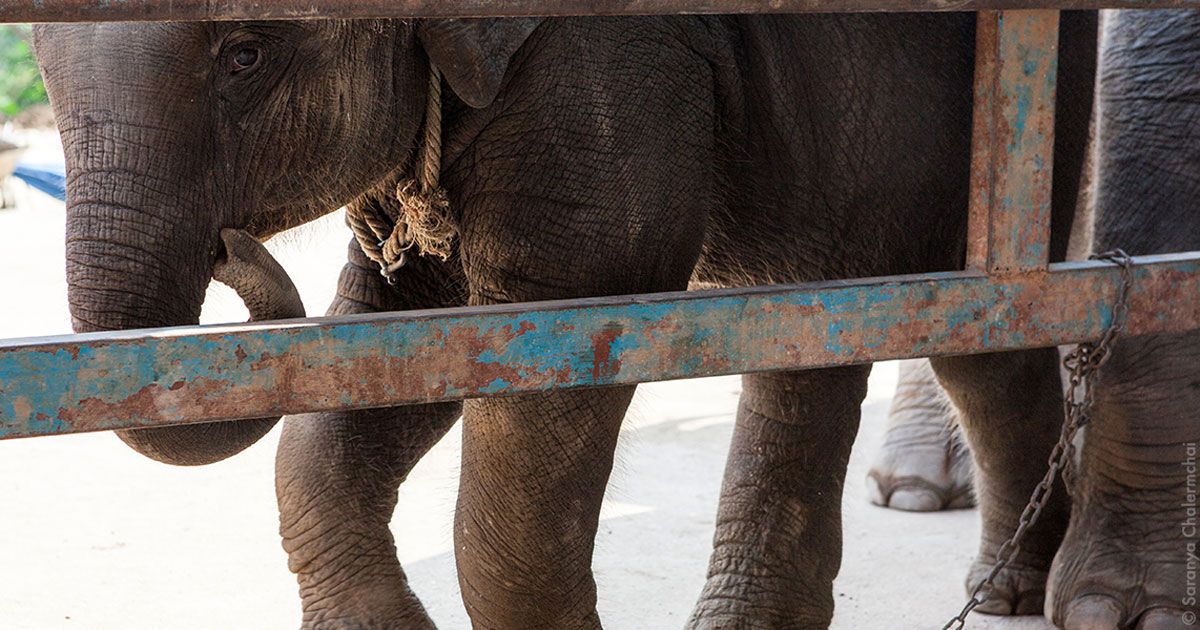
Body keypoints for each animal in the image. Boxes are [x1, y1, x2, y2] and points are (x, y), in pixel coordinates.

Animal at [31, 9, 1187, 629]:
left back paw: (1004, 587)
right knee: (837, 330)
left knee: (922, 326)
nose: (229, 249)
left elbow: (541, 357)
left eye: (244, 55)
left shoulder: (611, 72)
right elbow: (403, 340)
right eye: (36, 56)